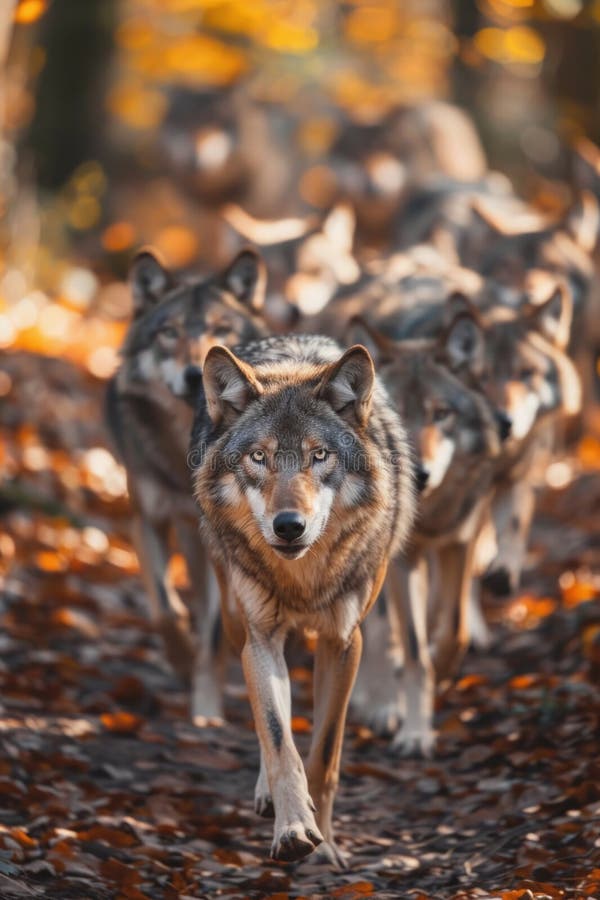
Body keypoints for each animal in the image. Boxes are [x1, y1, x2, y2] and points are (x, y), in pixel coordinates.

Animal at [105, 248, 267, 723]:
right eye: (169, 333)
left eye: (221, 330)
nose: (196, 375)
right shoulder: (146, 520)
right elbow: (164, 608)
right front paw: (179, 661)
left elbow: (211, 633)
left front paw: (206, 711)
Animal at [190, 333, 415, 865]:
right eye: (258, 457)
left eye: (319, 456)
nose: (289, 526)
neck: (303, 578)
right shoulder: (262, 637)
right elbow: (278, 738)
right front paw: (293, 828)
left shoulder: (344, 641)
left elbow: (324, 752)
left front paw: (327, 846)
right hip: (237, 618)